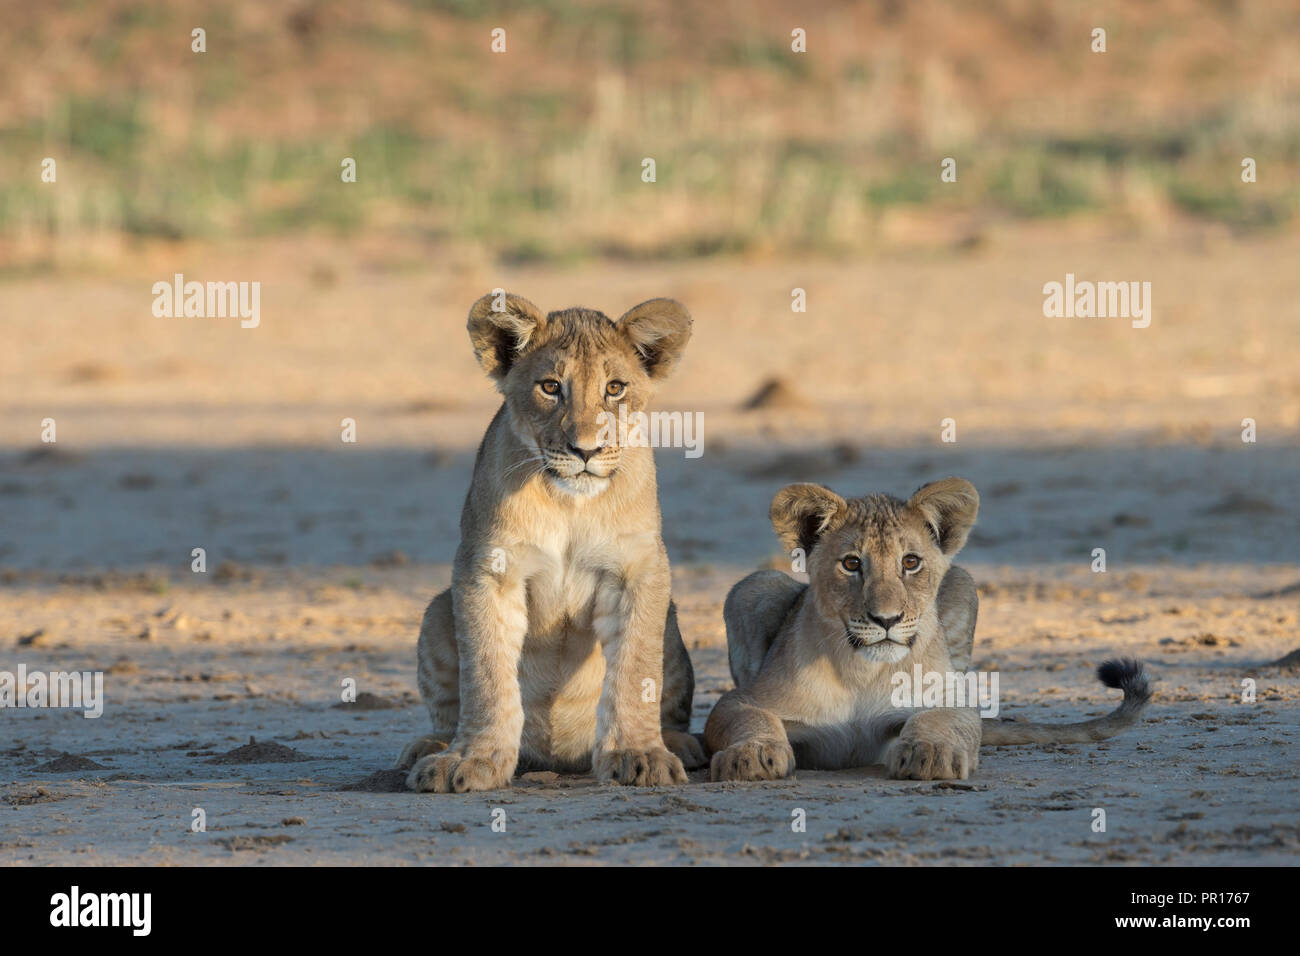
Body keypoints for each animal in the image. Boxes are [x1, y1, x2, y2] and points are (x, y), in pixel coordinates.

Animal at [396, 292, 706, 792]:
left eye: (614, 388)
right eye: (550, 386)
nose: (586, 450)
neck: (569, 504)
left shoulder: (638, 570)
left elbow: (636, 669)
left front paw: (640, 755)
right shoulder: (487, 570)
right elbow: (485, 674)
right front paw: (470, 759)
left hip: (674, 623)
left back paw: (680, 744)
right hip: (437, 612)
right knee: (446, 707)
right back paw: (430, 746)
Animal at [703, 478, 1152, 781]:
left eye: (911, 562)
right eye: (851, 564)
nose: (886, 619)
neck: (862, 672)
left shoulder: (953, 698)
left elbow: (942, 718)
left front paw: (932, 753)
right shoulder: (739, 699)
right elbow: (750, 718)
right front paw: (752, 755)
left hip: (964, 583)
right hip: (754, 586)